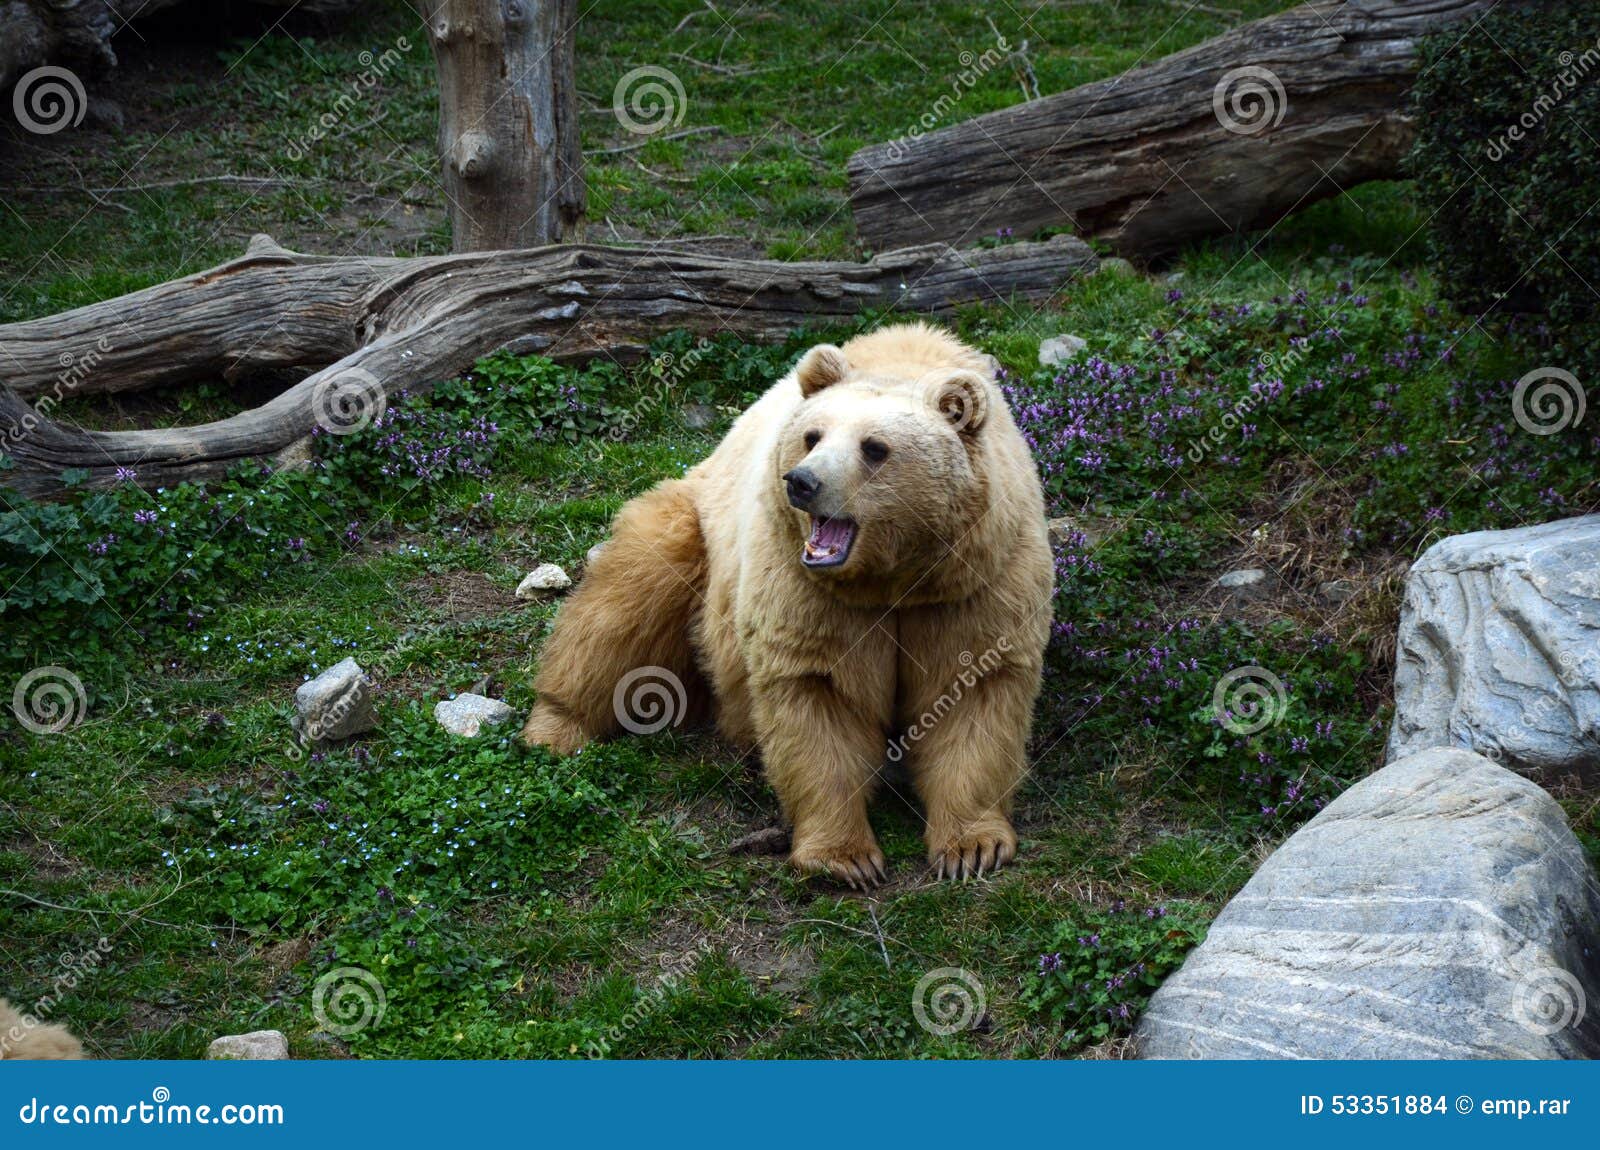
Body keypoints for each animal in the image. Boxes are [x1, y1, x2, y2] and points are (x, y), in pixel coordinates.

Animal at [521, 322, 1053, 886]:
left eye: (875, 448)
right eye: (813, 436)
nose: (802, 481)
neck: (893, 580)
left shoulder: (975, 584)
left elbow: (972, 692)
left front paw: (973, 847)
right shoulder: (806, 588)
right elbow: (816, 699)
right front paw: (845, 857)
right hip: (696, 531)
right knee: (620, 615)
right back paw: (555, 727)